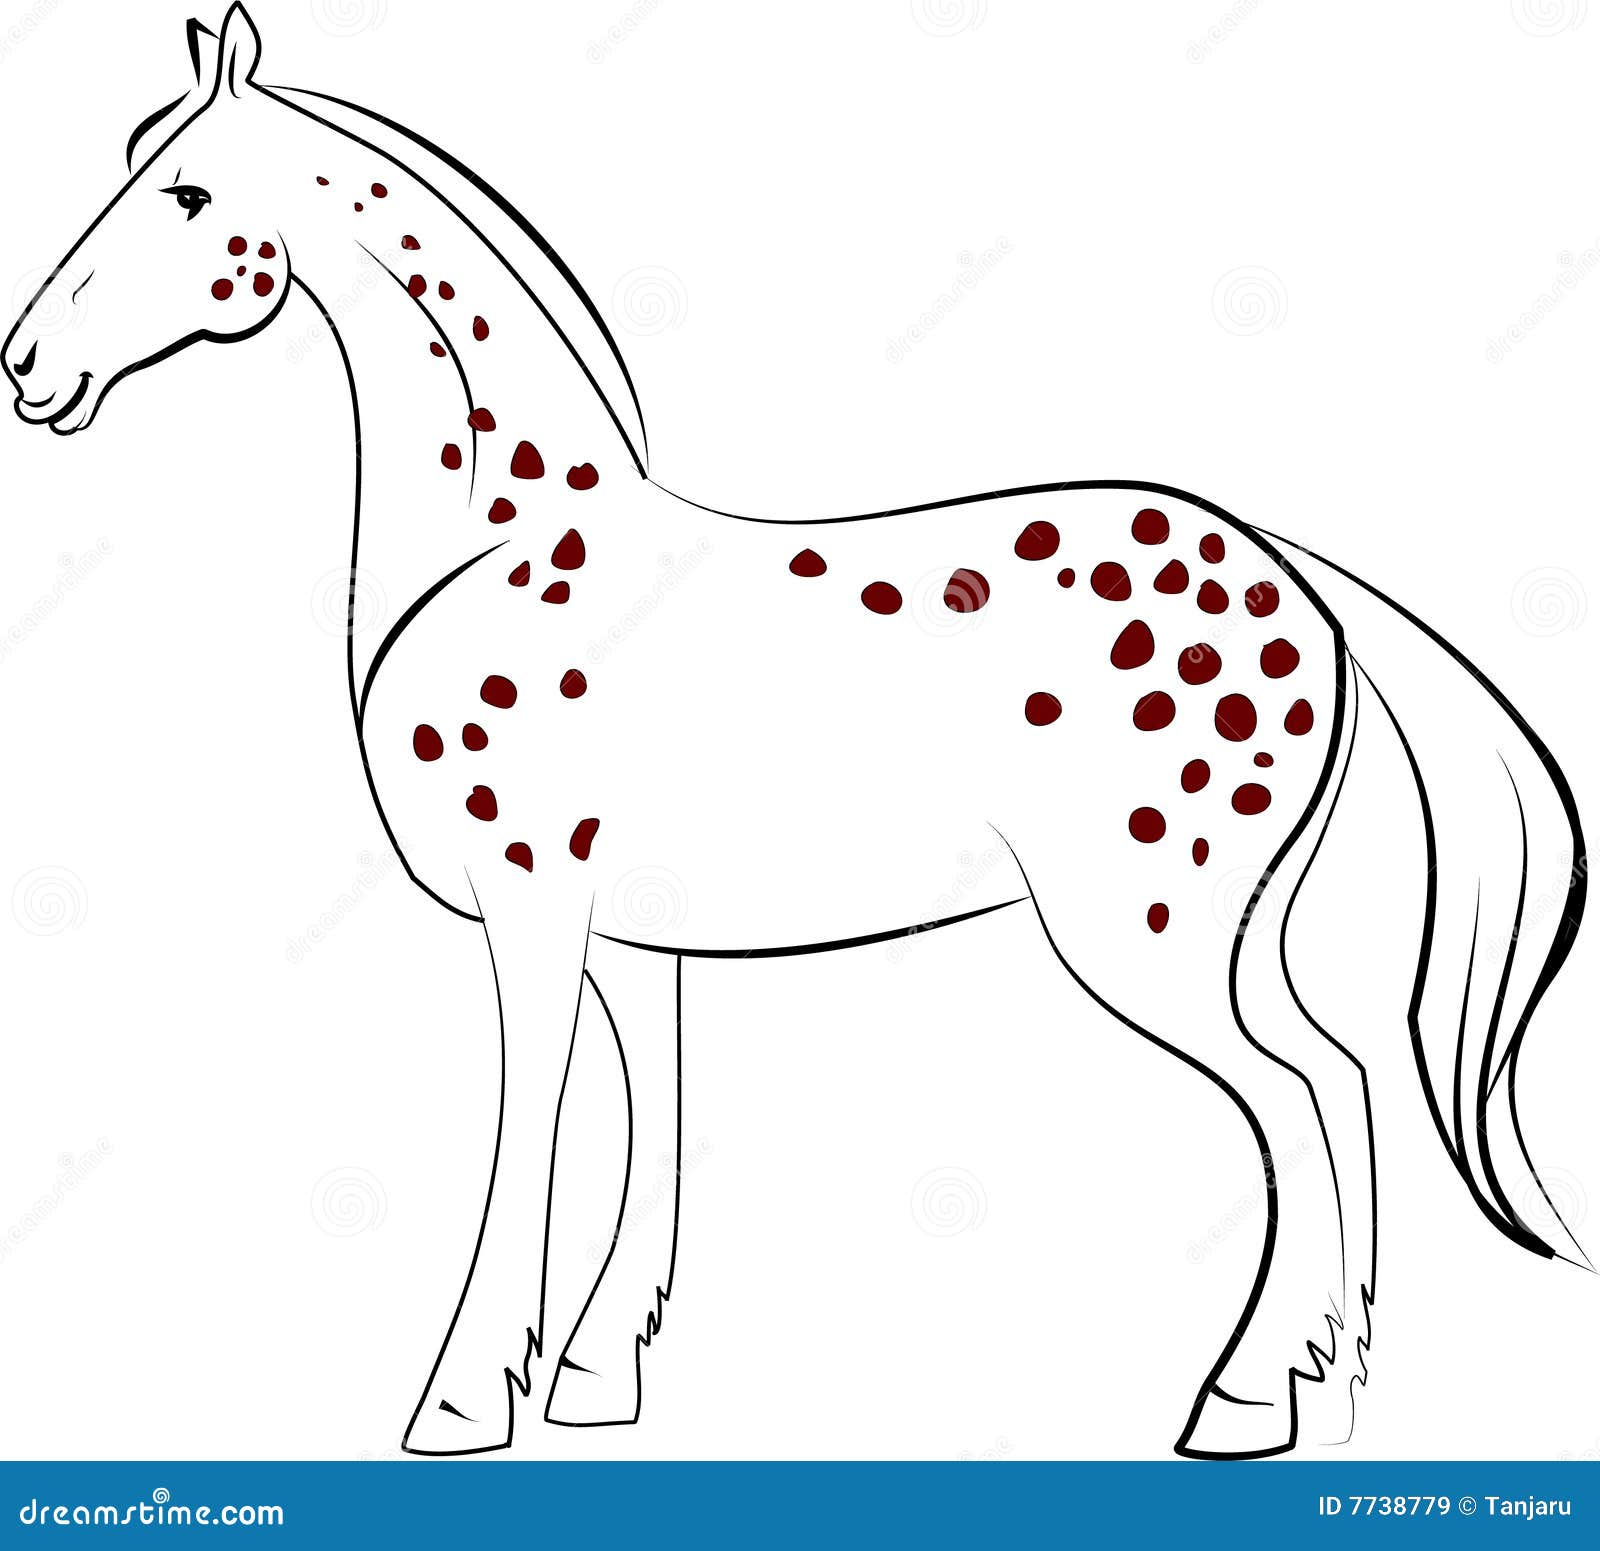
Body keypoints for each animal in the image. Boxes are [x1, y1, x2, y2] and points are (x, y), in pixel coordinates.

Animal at [3, 5, 1587, 1460]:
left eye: (188, 193)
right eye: (131, 157)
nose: (25, 366)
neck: (501, 544)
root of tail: (1295, 574)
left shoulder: (532, 911)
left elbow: (532, 1136)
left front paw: (456, 1403)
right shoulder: (633, 942)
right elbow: (649, 1128)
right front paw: (594, 1382)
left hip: (1144, 935)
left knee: (1297, 1097)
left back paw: (1243, 1400)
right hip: (1228, 933)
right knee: (1344, 1080)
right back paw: (1331, 1388)